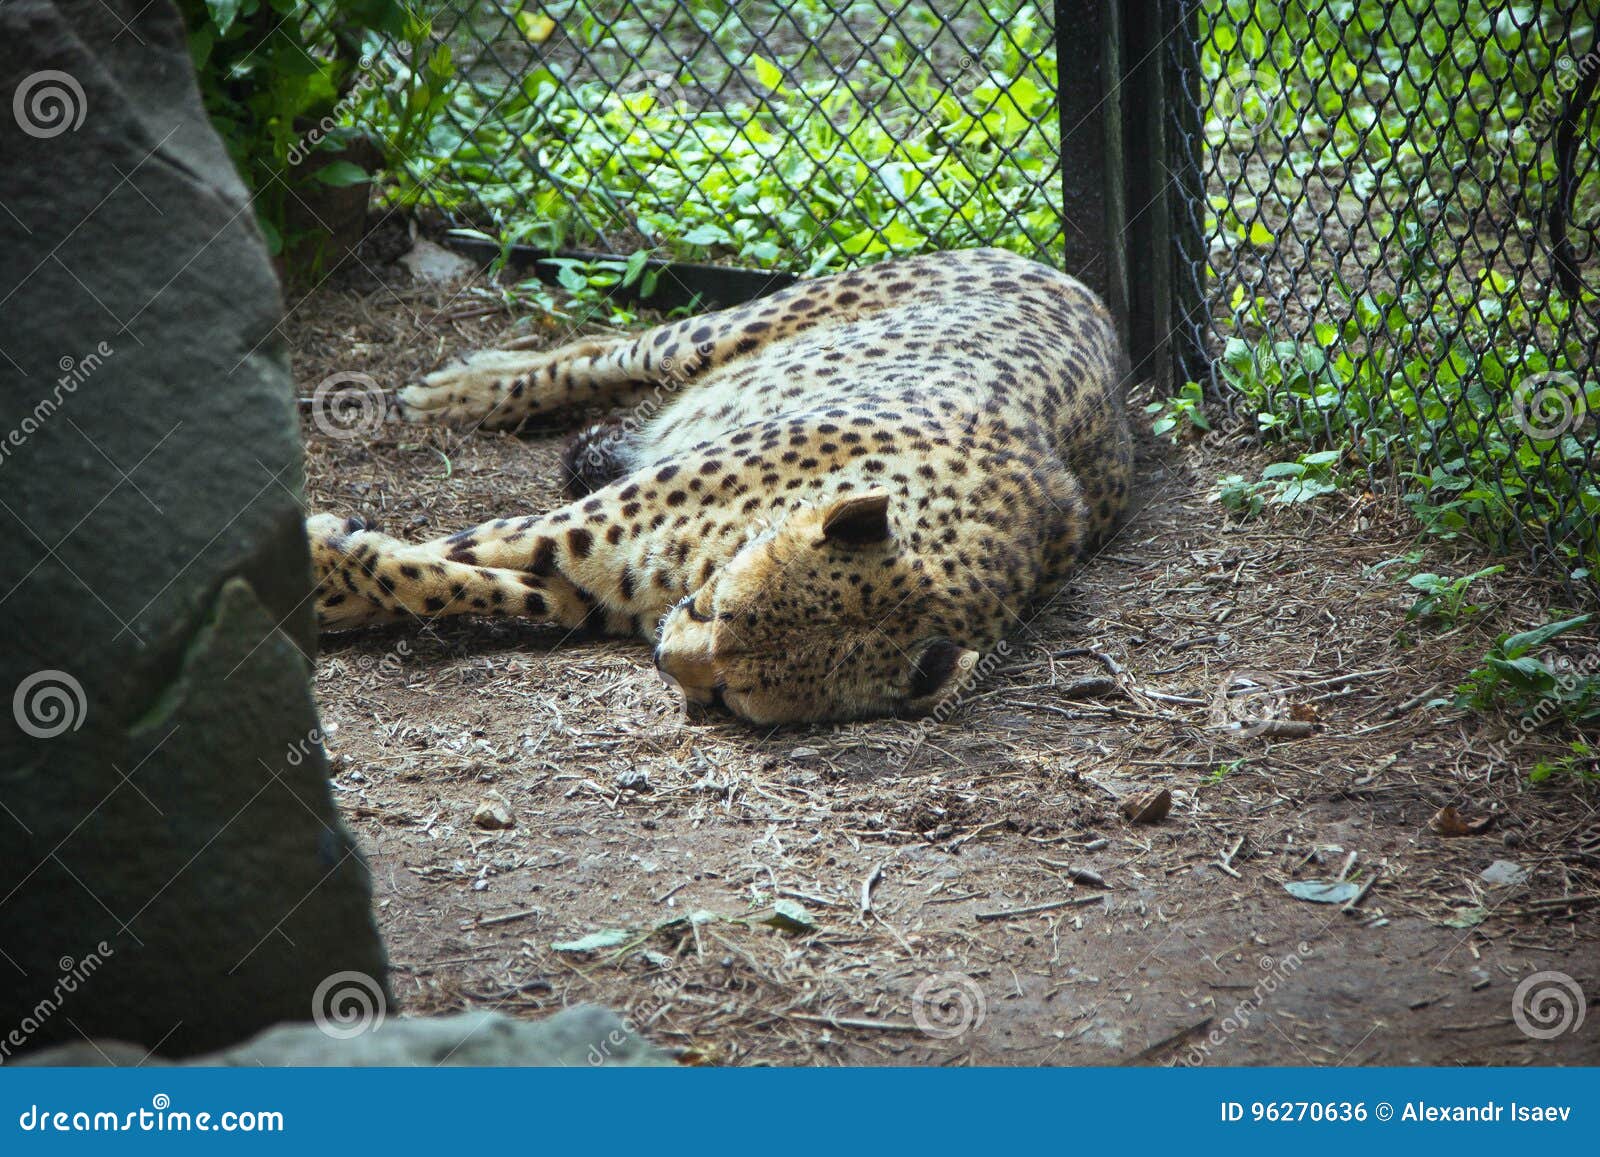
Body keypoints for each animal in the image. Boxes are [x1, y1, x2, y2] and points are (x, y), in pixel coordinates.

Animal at [306, 247, 1133, 725]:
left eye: (732, 693)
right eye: (721, 609)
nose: (668, 663)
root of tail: (1079, 281)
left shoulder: (583, 589)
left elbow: (450, 581)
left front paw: (339, 585)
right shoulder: (578, 527)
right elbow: (447, 554)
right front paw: (321, 561)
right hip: (721, 330)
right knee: (598, 349)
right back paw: (463, 389)